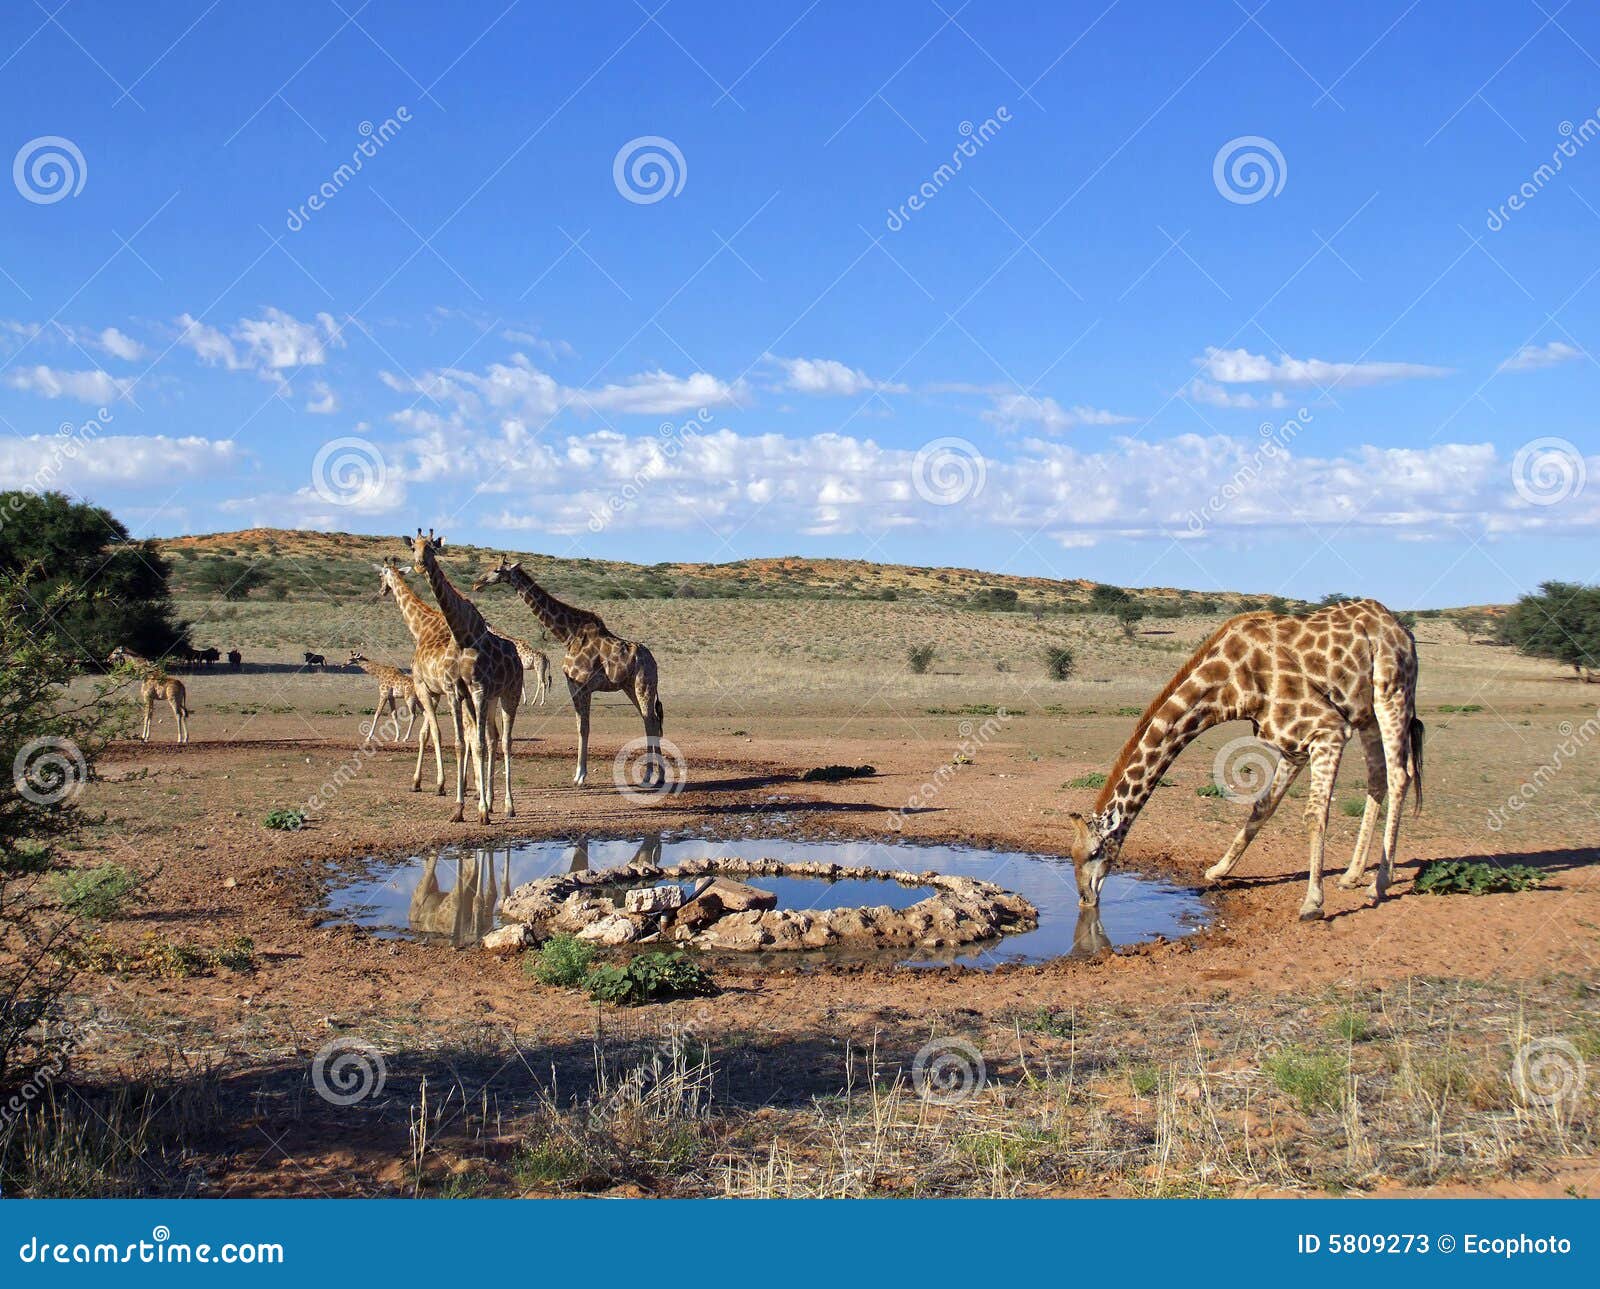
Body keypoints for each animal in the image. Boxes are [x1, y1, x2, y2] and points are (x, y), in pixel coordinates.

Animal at [410, 531, 523, 824]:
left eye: (432, 548)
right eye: (414, 547)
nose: (419, 565)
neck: (462, 636)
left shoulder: (479, 690)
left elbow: (479, 745)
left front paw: (482, 812)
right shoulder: (455, 692)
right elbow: (463, 744)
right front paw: (459, 809)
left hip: (509, 695)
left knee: (505, 741)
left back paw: (508, 806)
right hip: (487, 699)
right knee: (492, 738)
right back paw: (491, 801)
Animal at [471, 556, 665, 788]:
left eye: (498, 570)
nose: (477, 584)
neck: (568, 635)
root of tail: (653, 661)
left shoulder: (582, 685)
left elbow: (584, 727)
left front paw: (580, 775)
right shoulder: (574, 685)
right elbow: (580, 725)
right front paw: (579, 774)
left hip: (644, 685)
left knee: (651, 721)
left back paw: (653, 776)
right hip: (631, 687)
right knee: (650, 721)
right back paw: (655, 775)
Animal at [1064, 598, 1423, 922]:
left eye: (1095, 852)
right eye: (1071, 854)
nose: (1084, 899)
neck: (1229, 688)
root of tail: (1403, 630)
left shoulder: (1328, 729)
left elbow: (1314, 815)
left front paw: (1312, 903)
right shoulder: (1291, 745)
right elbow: (1263, 807)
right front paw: (1217, 871)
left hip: (1392, 692)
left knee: (1399, 776)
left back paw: (1379, 884)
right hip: (1366, 714)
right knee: (1377, 778)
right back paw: (1351, 875)